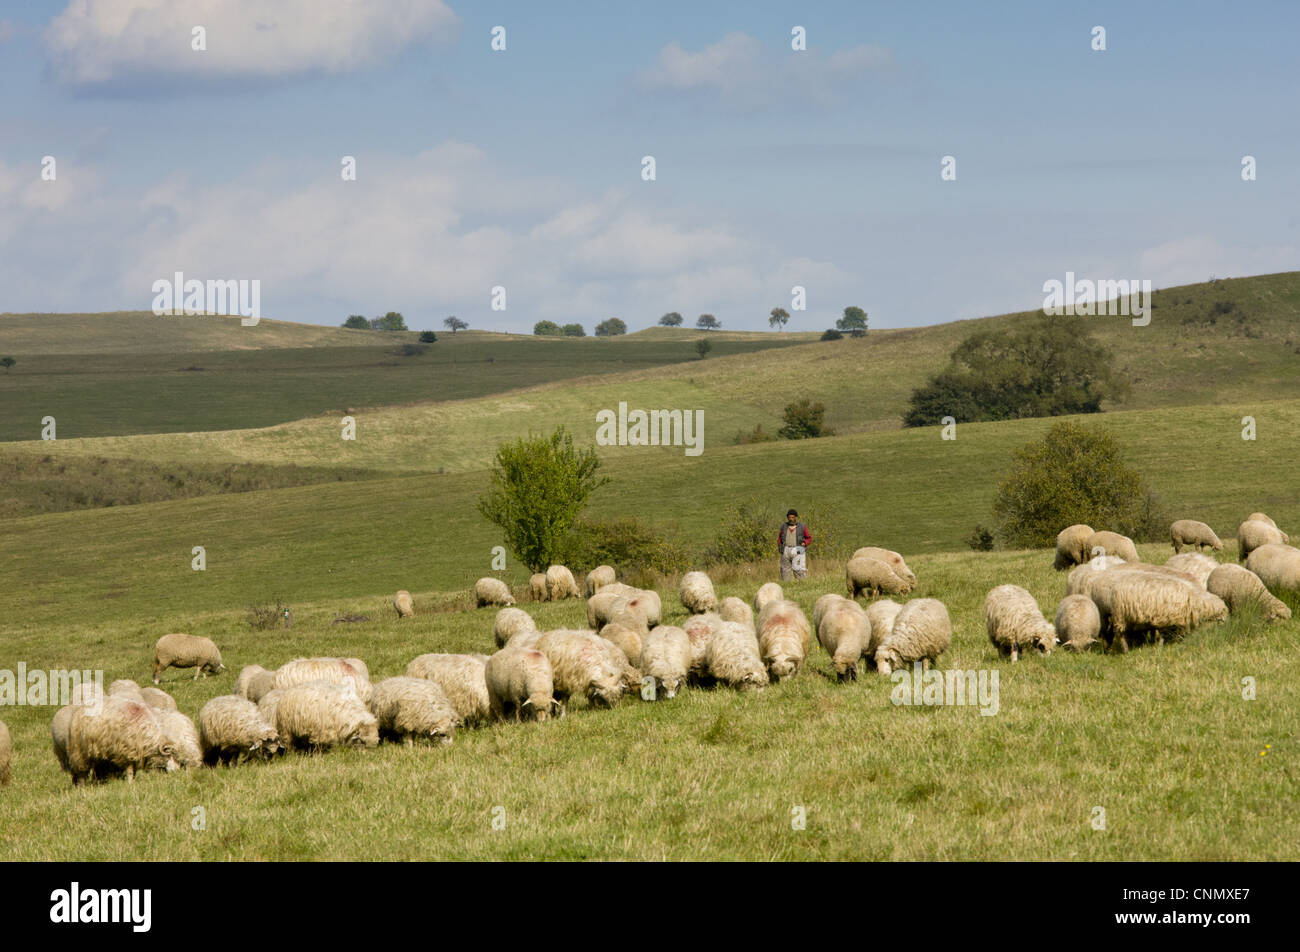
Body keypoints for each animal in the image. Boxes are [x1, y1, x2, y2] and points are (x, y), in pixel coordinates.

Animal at [1089, 570, 1227, 652]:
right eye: (1219, 619)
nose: (1221, 631)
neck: (1194, 599)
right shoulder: (1164, 618)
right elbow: (1162, 635)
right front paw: (1160, 646)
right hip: (1118, 614)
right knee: (1117, 633)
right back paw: (1124, 649)